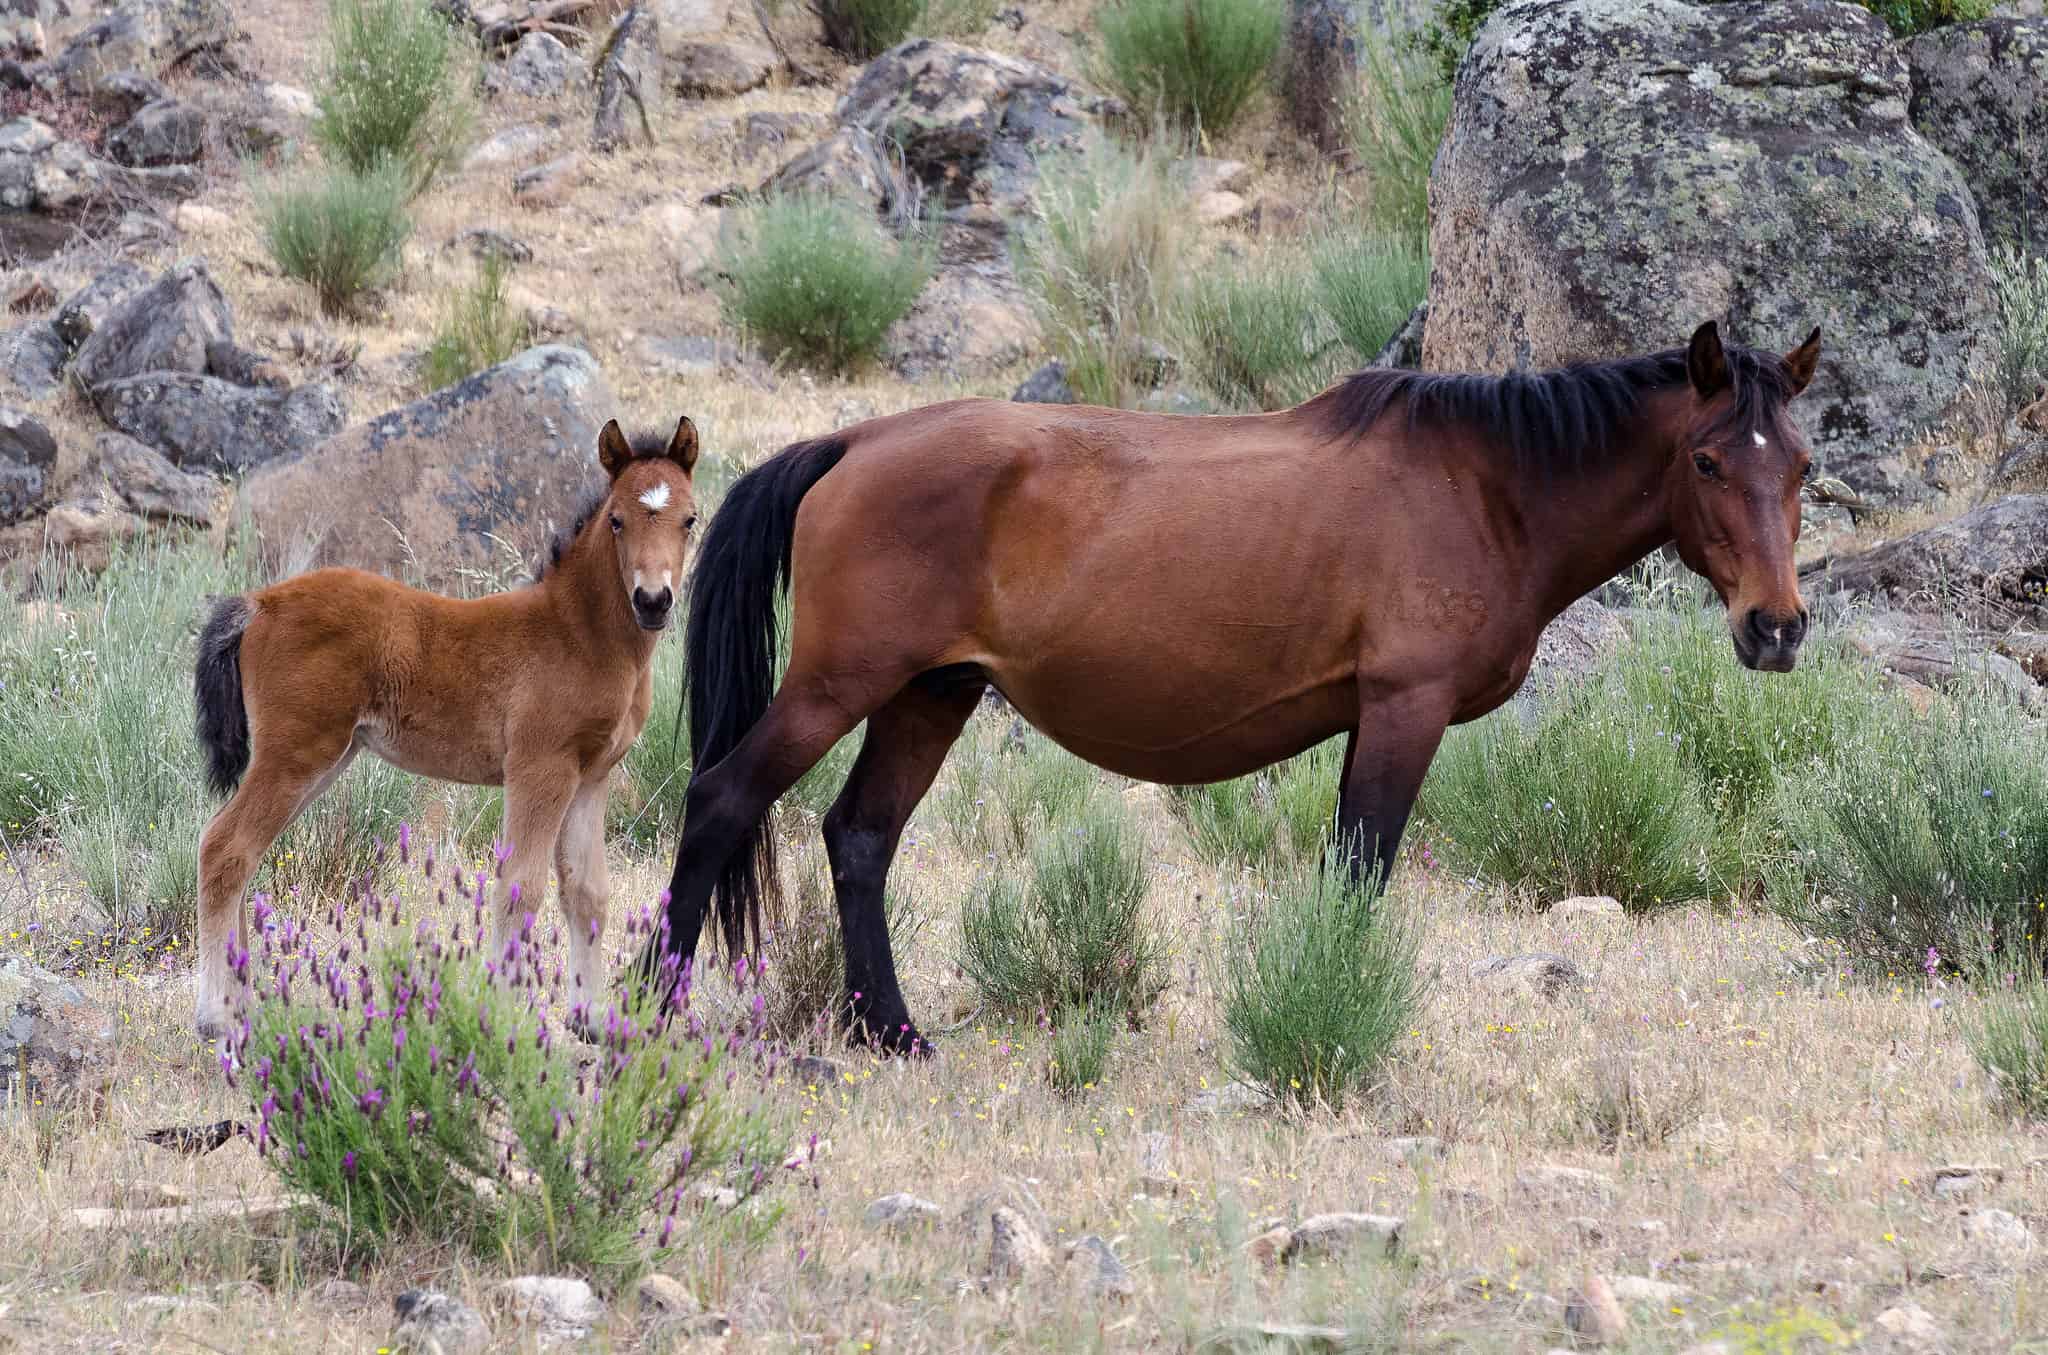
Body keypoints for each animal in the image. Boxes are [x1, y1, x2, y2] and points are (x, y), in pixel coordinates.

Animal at [189, 418, 700, 1039]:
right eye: (618, 519)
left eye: (690, 519)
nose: (653, 601)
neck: (578, 635)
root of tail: (259, 602)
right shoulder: (540, 767)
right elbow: (520, 888)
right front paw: (503, 1018)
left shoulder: (593, 775)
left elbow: (586, 891)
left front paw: (592, 1020)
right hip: (296, 752)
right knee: (225, 847)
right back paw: (217, 1014)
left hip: (326, 756)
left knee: (245, 854)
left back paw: (244, 1002)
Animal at [637, 320, 1823, 1055]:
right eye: (1709, 461)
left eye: (1800, 465)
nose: (1774, 628)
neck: (1486, 488)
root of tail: (850, 441)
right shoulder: (1403, 708)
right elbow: (1360, 870)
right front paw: (1331, 1006)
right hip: (843, 684)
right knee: (723, 798)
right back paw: (652, 1010)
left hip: (930, 693)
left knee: (860, 838)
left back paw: (892, 1031)